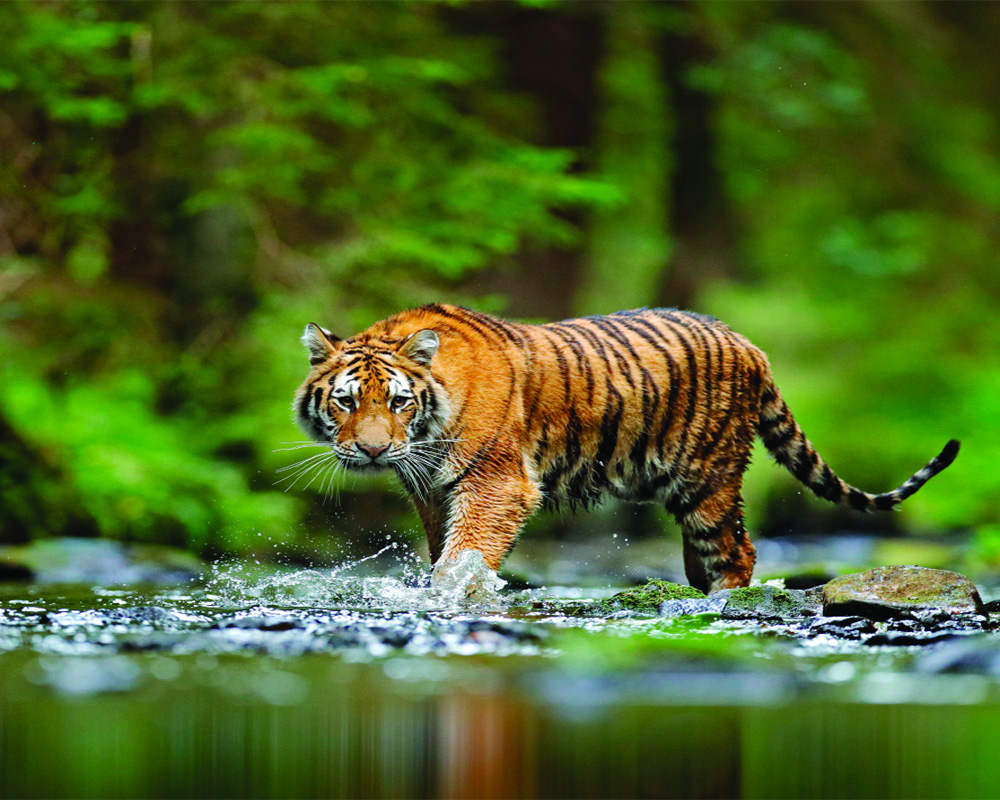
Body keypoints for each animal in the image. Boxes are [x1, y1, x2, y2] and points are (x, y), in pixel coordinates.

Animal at [293, 303, 959, 594]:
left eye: (398, 402)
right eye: (346, 402)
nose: (373, 452)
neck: (427, 436)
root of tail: (751, 345)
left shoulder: (497, 481)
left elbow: (467, 553)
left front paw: (457, 592)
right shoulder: (431, 491)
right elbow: (442, 549)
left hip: (708, 480)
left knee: (738, 551)